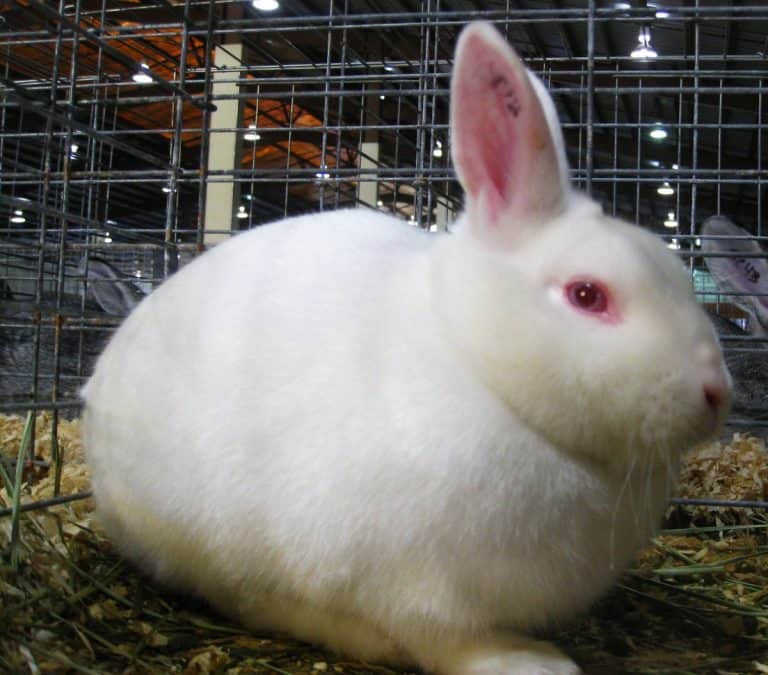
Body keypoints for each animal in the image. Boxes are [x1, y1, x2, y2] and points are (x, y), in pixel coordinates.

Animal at [81, 22, 731, 675]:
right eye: (587, 295)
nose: (717, 394)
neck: (479, 367)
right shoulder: (418, 588)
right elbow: (448, 638)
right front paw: (530, 661)